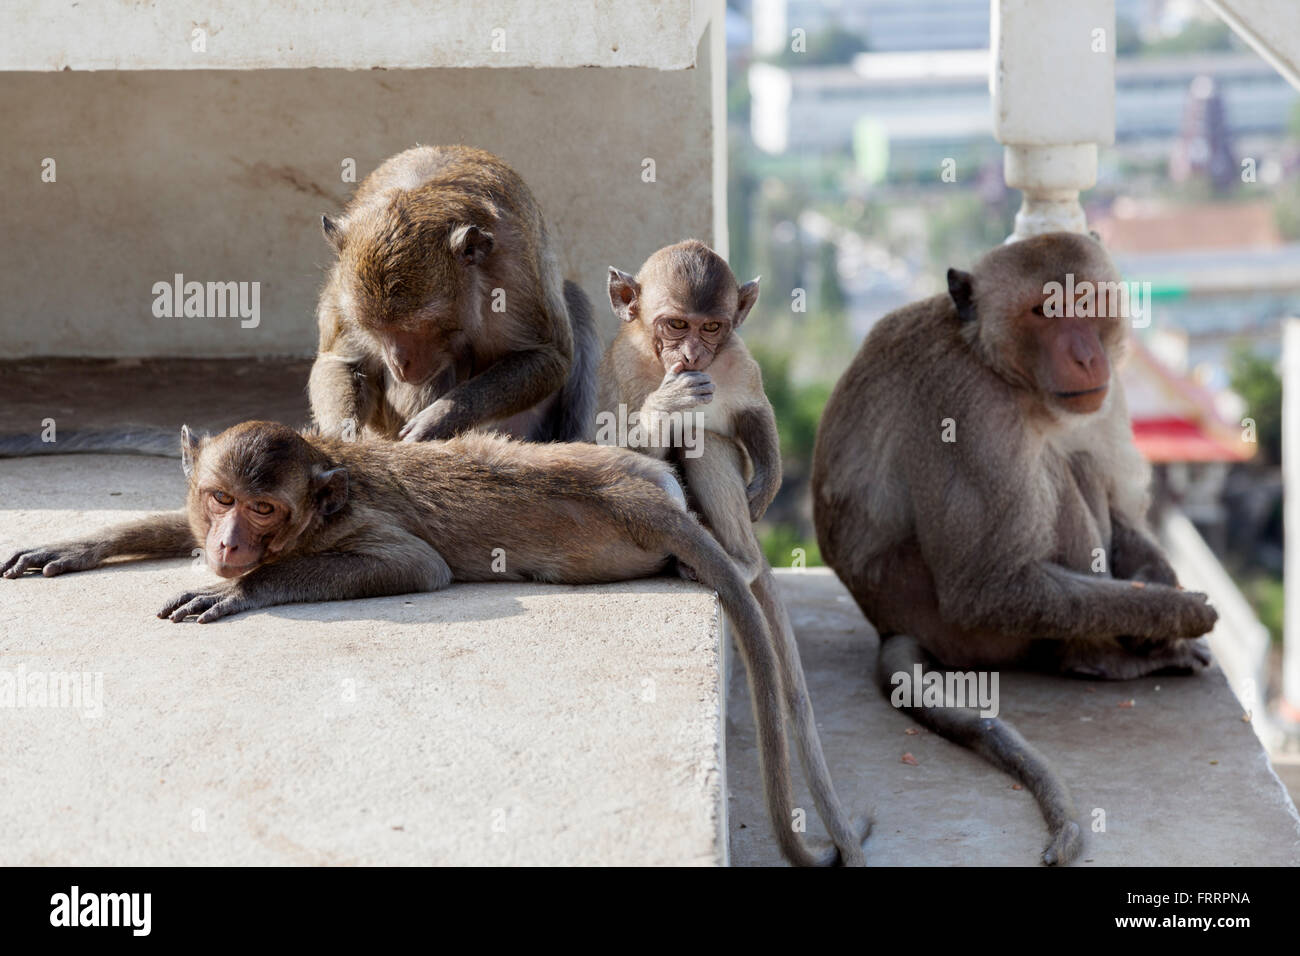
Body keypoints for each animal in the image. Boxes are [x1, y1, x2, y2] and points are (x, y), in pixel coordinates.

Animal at [2, 420, 860, 868]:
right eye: (218, 498)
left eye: (262, 508)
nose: (230, 543)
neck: (327, 487)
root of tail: (632, 494)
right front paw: (76, 546)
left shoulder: (363, 530)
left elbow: (419, 567)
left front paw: (236, 593)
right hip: (635, 470)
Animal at [308, 144, 599, 444]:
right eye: (374, 329)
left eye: (419, 327)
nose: (399, 364)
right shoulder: (343, 286)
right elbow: (340, 361)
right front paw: (340, 437)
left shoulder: (513, 275)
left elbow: (549, 357)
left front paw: (443, 417)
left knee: (576, 301)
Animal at [596, 240, 868, 866]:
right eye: (675, 324)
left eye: (712, 326)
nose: (692, 353)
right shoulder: (624, 369)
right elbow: (614, 449)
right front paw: (666, 403)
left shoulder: (739, 360)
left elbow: (754, 415)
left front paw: (766, 482)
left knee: (708, 441)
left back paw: (739, 558)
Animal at [811, 231, 1219, 865]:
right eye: (1044, 312)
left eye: (1086, 304)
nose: (1086, 356)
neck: (997, 364)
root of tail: (890, 624)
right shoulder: (969, 411)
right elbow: (988, 586)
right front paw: (1177, 612)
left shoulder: (1102, 395)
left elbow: (1120, 505)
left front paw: (1160, 583)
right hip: (968, 637)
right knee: (1057, 470)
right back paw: (1100, 658)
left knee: (1079, 457)